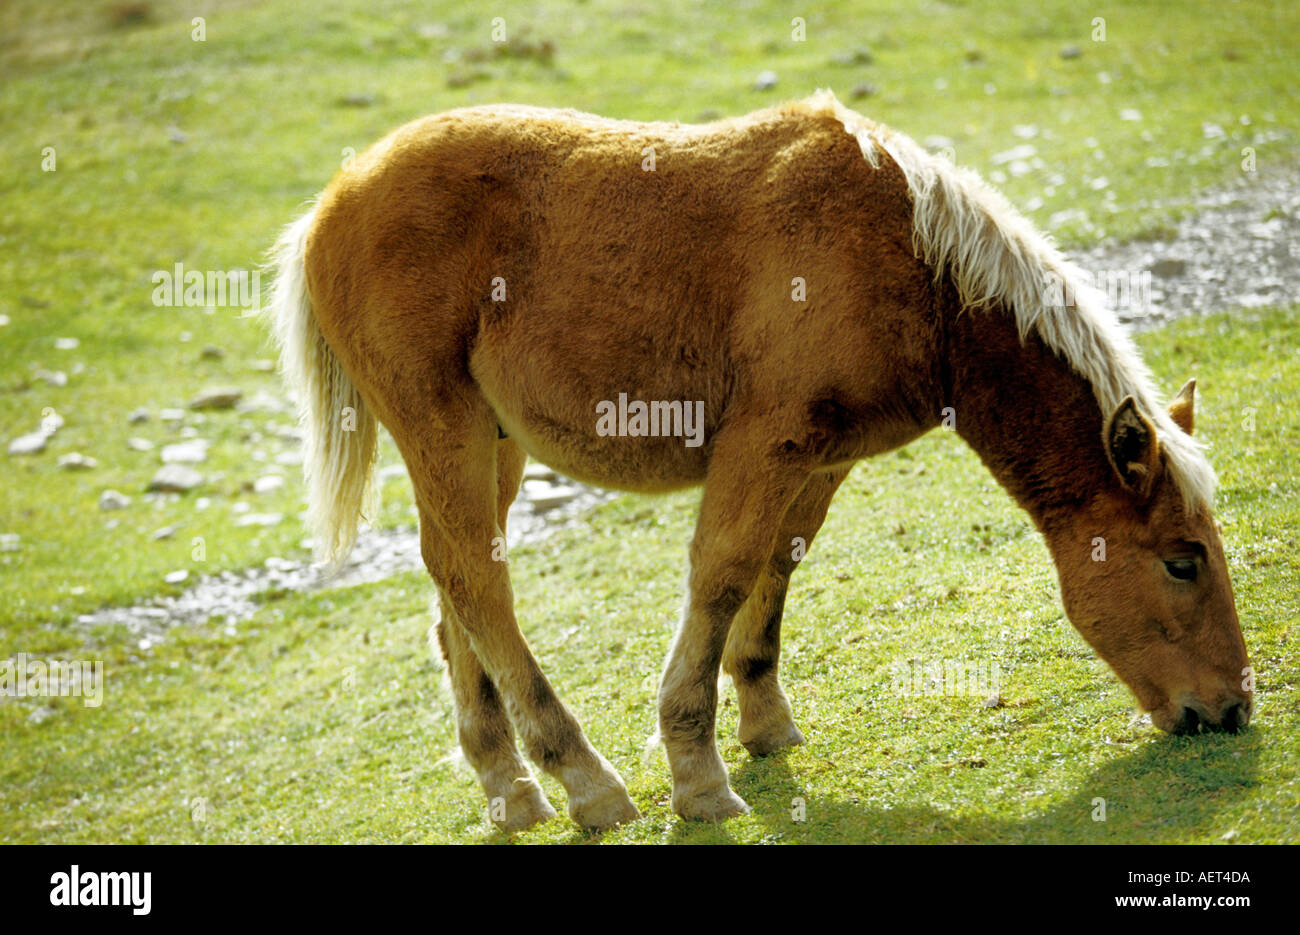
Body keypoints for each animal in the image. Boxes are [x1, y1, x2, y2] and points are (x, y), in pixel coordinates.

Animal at [265, 90, 1252, 832]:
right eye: (1183, 560)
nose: (1234, 709)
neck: (913, 268)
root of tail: (331, 202)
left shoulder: (817, 460)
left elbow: (775, 572)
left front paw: (766, 724)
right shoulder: (763, 446)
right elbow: (724, 575)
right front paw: (699, 775)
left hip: (488, 446)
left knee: (453, 593)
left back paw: (511, 787)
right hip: (447, 430)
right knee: (475, 580)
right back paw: (585, 780)